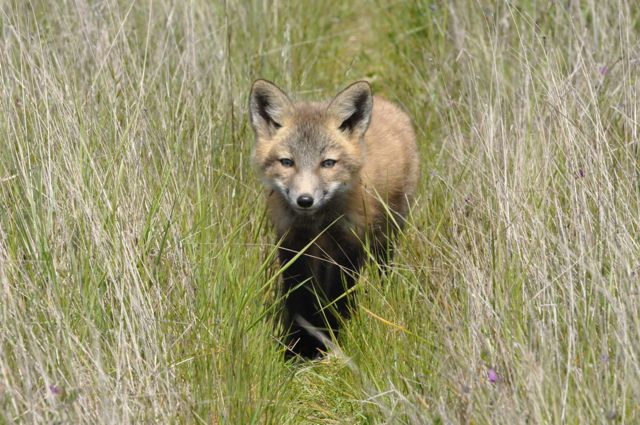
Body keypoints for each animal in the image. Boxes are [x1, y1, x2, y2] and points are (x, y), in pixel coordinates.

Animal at [249, 79, 419, 359]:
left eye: (328, 163)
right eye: (287, 162)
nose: (305, 200)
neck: (317, 225)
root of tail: (388, 105)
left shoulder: (347, 246)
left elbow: (338, 298)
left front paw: (330, 341)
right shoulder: (293, 245)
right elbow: (299, 300)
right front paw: (299, 349)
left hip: (386, 236)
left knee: (382, 267)